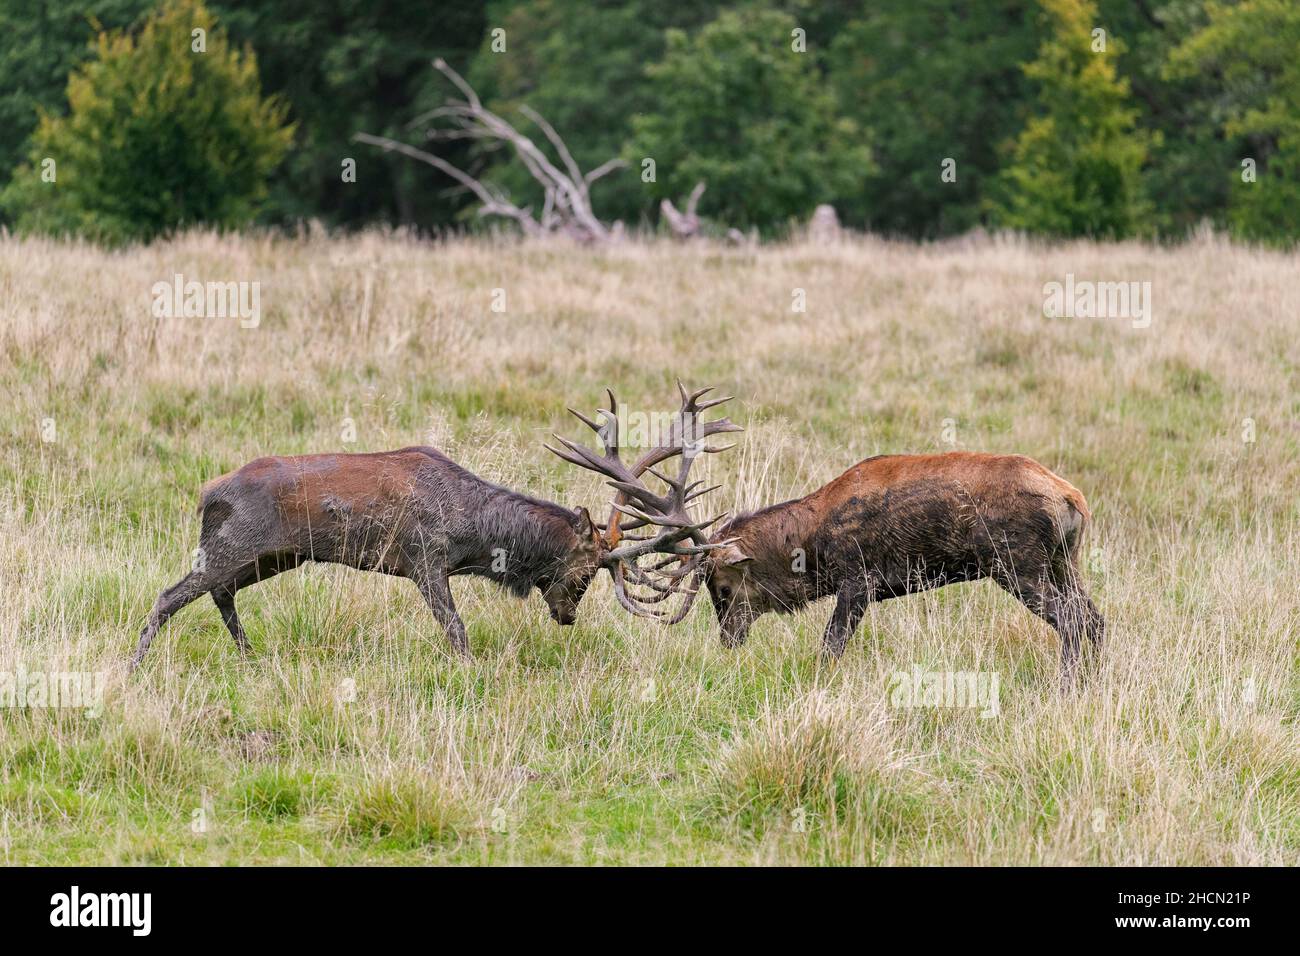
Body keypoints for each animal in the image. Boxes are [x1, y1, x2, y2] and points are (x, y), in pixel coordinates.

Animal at [129, 384, 740, 671]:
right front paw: (471, 671)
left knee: (221, 594)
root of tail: (208, 493)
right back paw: (135, 666)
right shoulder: (424, 559)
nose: (567, 616)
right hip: (234, 545)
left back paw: (249, 655)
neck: (477, 537)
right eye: (587, 569)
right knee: (169, 594)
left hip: (272, 556)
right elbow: (457, 631)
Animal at [560, 442, 1105, 687]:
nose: (728, 641)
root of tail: (1074, 500)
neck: (812, 546)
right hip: (1064, 564)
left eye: (721, 587)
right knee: (1096, 617)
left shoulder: (858, 579)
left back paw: (1065, 686)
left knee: (1073, 619)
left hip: (1017, 563)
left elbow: (830, 646)